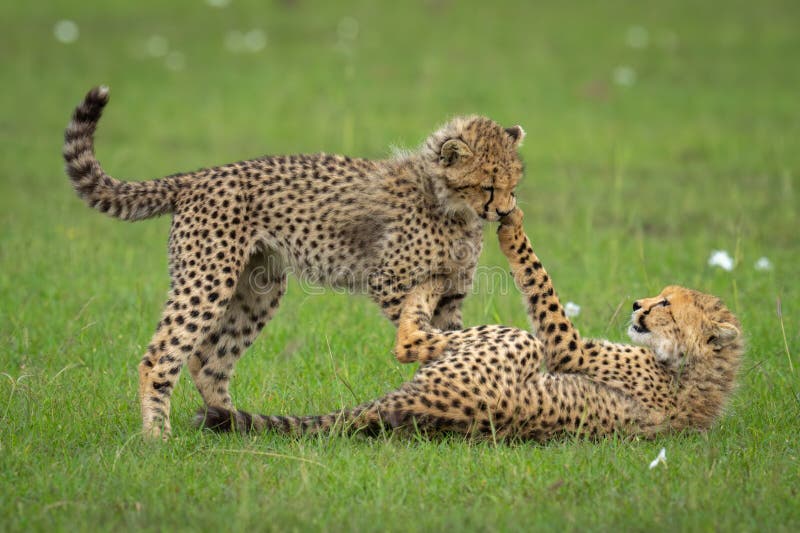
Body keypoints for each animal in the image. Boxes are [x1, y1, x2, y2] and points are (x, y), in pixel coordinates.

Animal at [63, 86, 525, 439]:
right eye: (488, 185)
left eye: (513, 184)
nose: (504, 212)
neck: (447, 200)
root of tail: (197, 176)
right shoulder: (390, 283)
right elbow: (427, 336)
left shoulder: (452, 293)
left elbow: (449, 337)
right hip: (207, 280)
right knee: (161, 358)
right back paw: (158, 436)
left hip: (259, 289)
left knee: (209, 361)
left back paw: (230, 423)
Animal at [197, 209, 744, 441]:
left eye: (667, 304)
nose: (637, 305)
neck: (693, 373)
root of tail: (409, 405)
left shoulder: (569, 350)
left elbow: (540, 283)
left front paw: (513, 229)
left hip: (514, 341)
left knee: (407, 341)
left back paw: (431, 282)